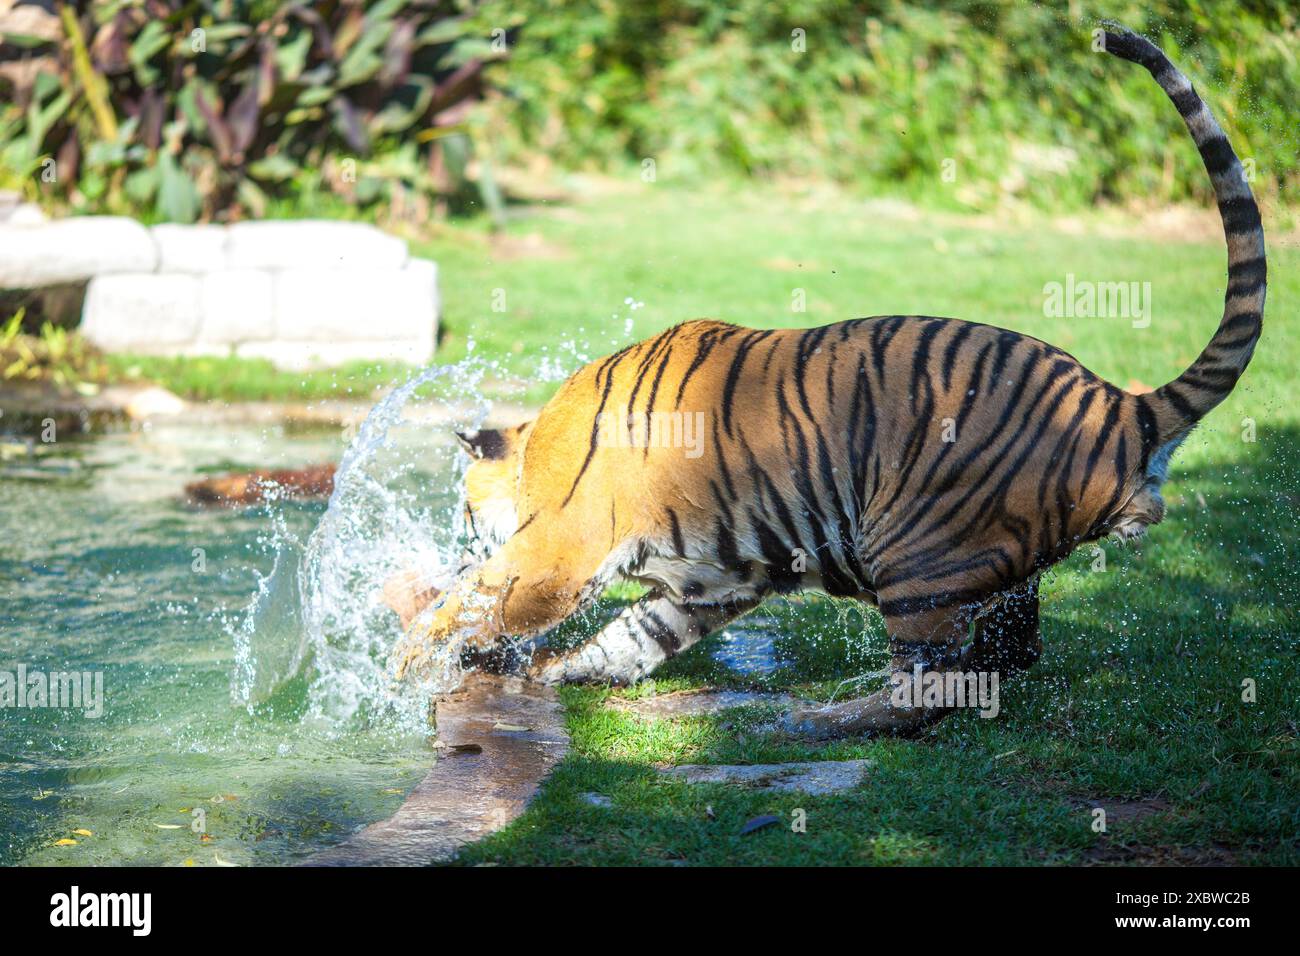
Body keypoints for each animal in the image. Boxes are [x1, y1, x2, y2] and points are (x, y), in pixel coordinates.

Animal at [387, 26, 1265, 739]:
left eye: (463, 509)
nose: (454, 540)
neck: (538, 440)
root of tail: (1121, 405)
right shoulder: (706, 586)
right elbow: (625, 644)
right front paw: (544, 673)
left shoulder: (559, 552)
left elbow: (479, 605)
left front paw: (401, 666)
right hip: (993, 568)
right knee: (1007, 656)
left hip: (916, 550)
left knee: (930, 692)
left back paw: (816, 721)